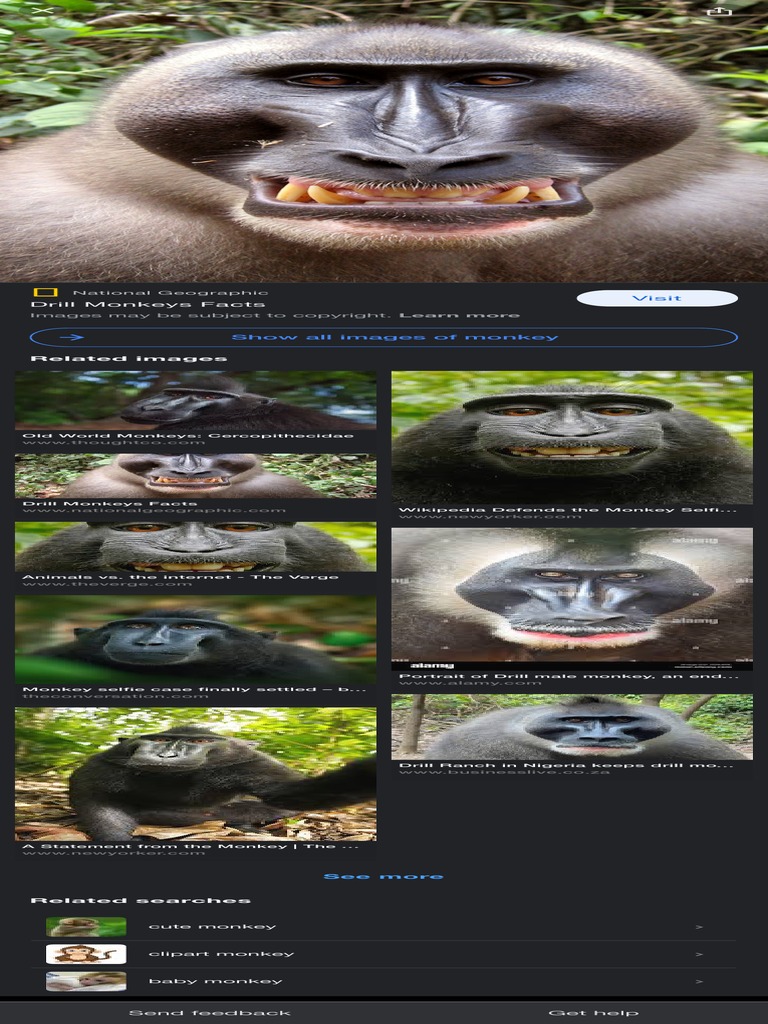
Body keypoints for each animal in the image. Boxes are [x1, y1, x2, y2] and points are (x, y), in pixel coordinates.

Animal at [68, 726, 376, 842]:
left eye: (199, 741)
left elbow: (288, 796)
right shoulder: (106, 765)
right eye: (159, 739)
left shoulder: (248, 763)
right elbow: (94, 797)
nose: (167, 755)